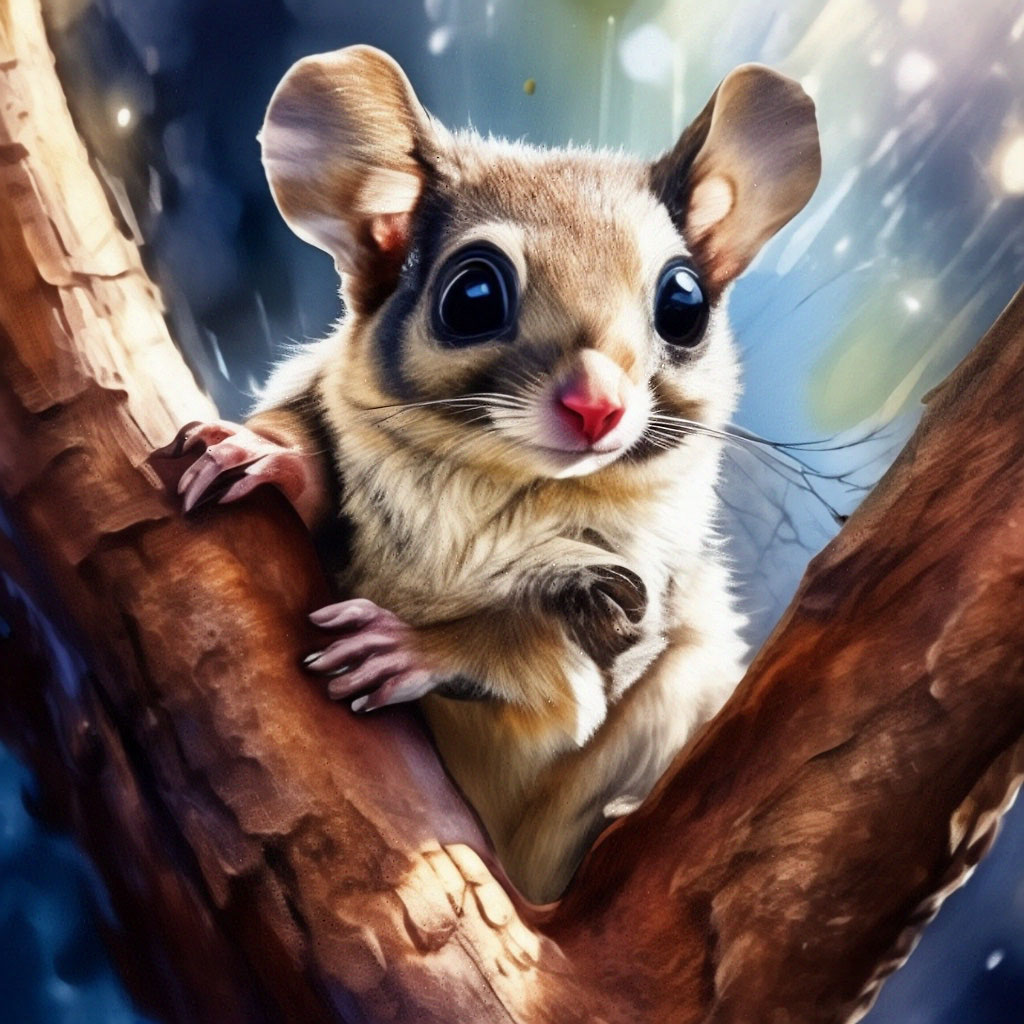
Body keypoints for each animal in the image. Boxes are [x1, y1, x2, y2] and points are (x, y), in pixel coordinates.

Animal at [167, 45, 820, 903]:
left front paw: (413, 647)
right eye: (472, 294)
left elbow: (552, 661)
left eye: (684, 303)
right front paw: (261, 453)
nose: (597, 407)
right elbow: (311, 454)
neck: (492, 481)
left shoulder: (628, 595)